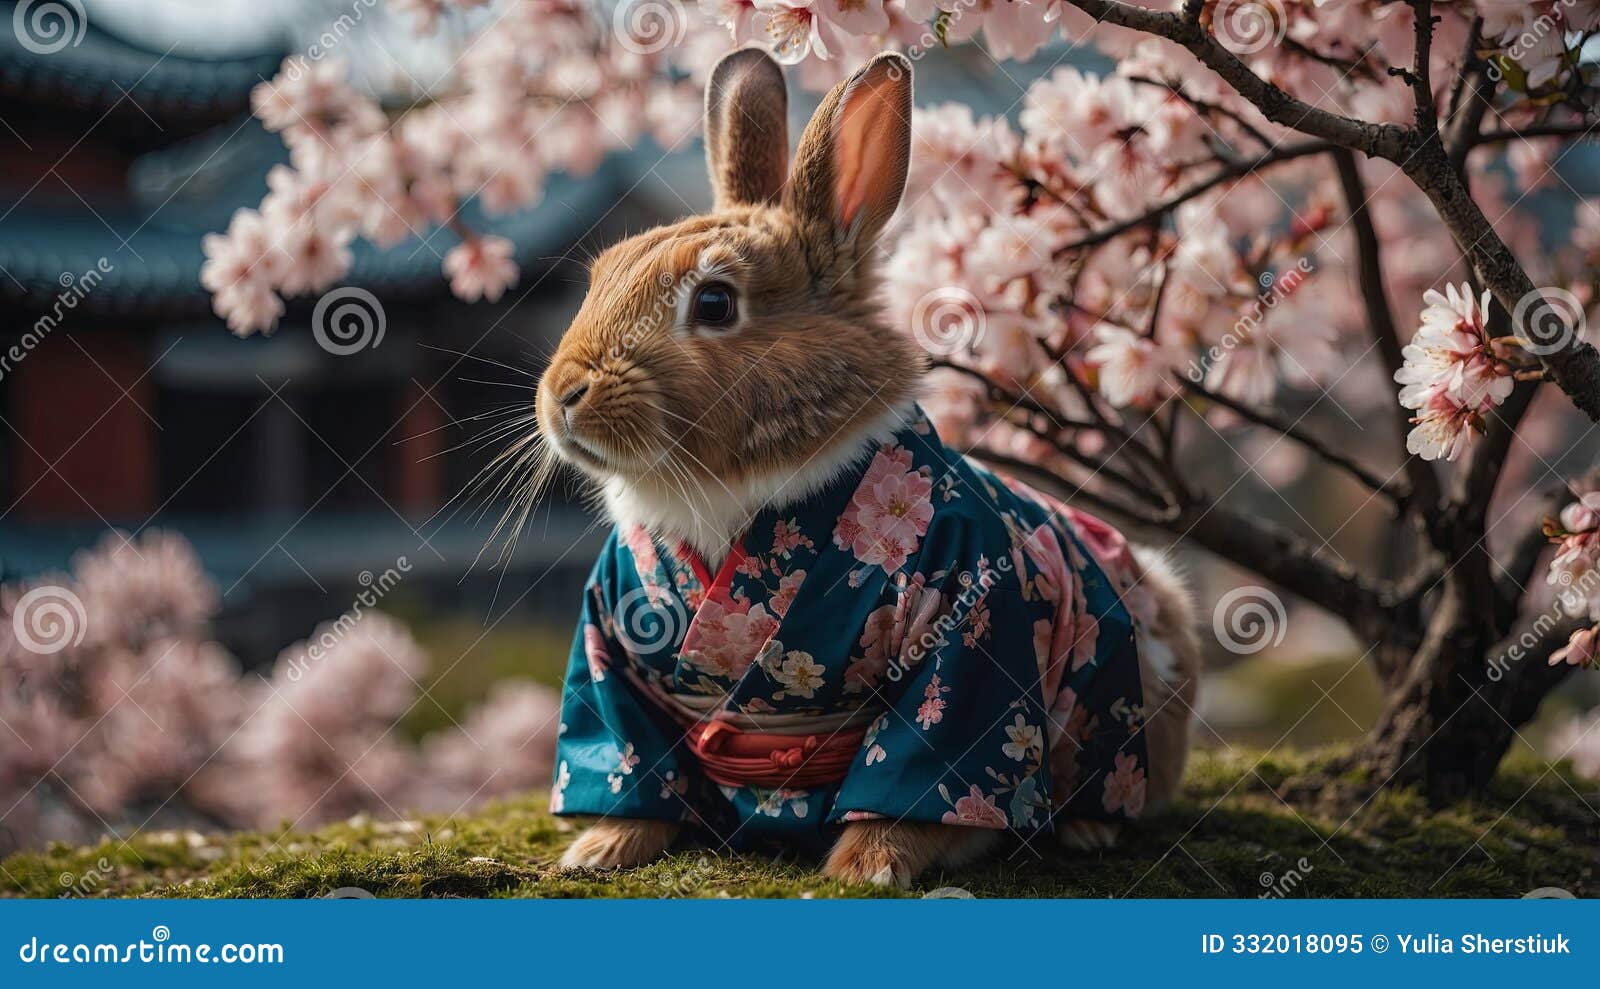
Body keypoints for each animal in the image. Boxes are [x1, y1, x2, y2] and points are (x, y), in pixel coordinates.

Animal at [537, 46, 1200, 887]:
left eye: (715, 303)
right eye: (601, 277)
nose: (564, 394)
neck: (734, 486)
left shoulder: (965, 639)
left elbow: (918, 771)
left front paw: (869, 865)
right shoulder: (612, 642)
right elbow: (630, 756)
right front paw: (599, 848)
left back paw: (1089, 828)